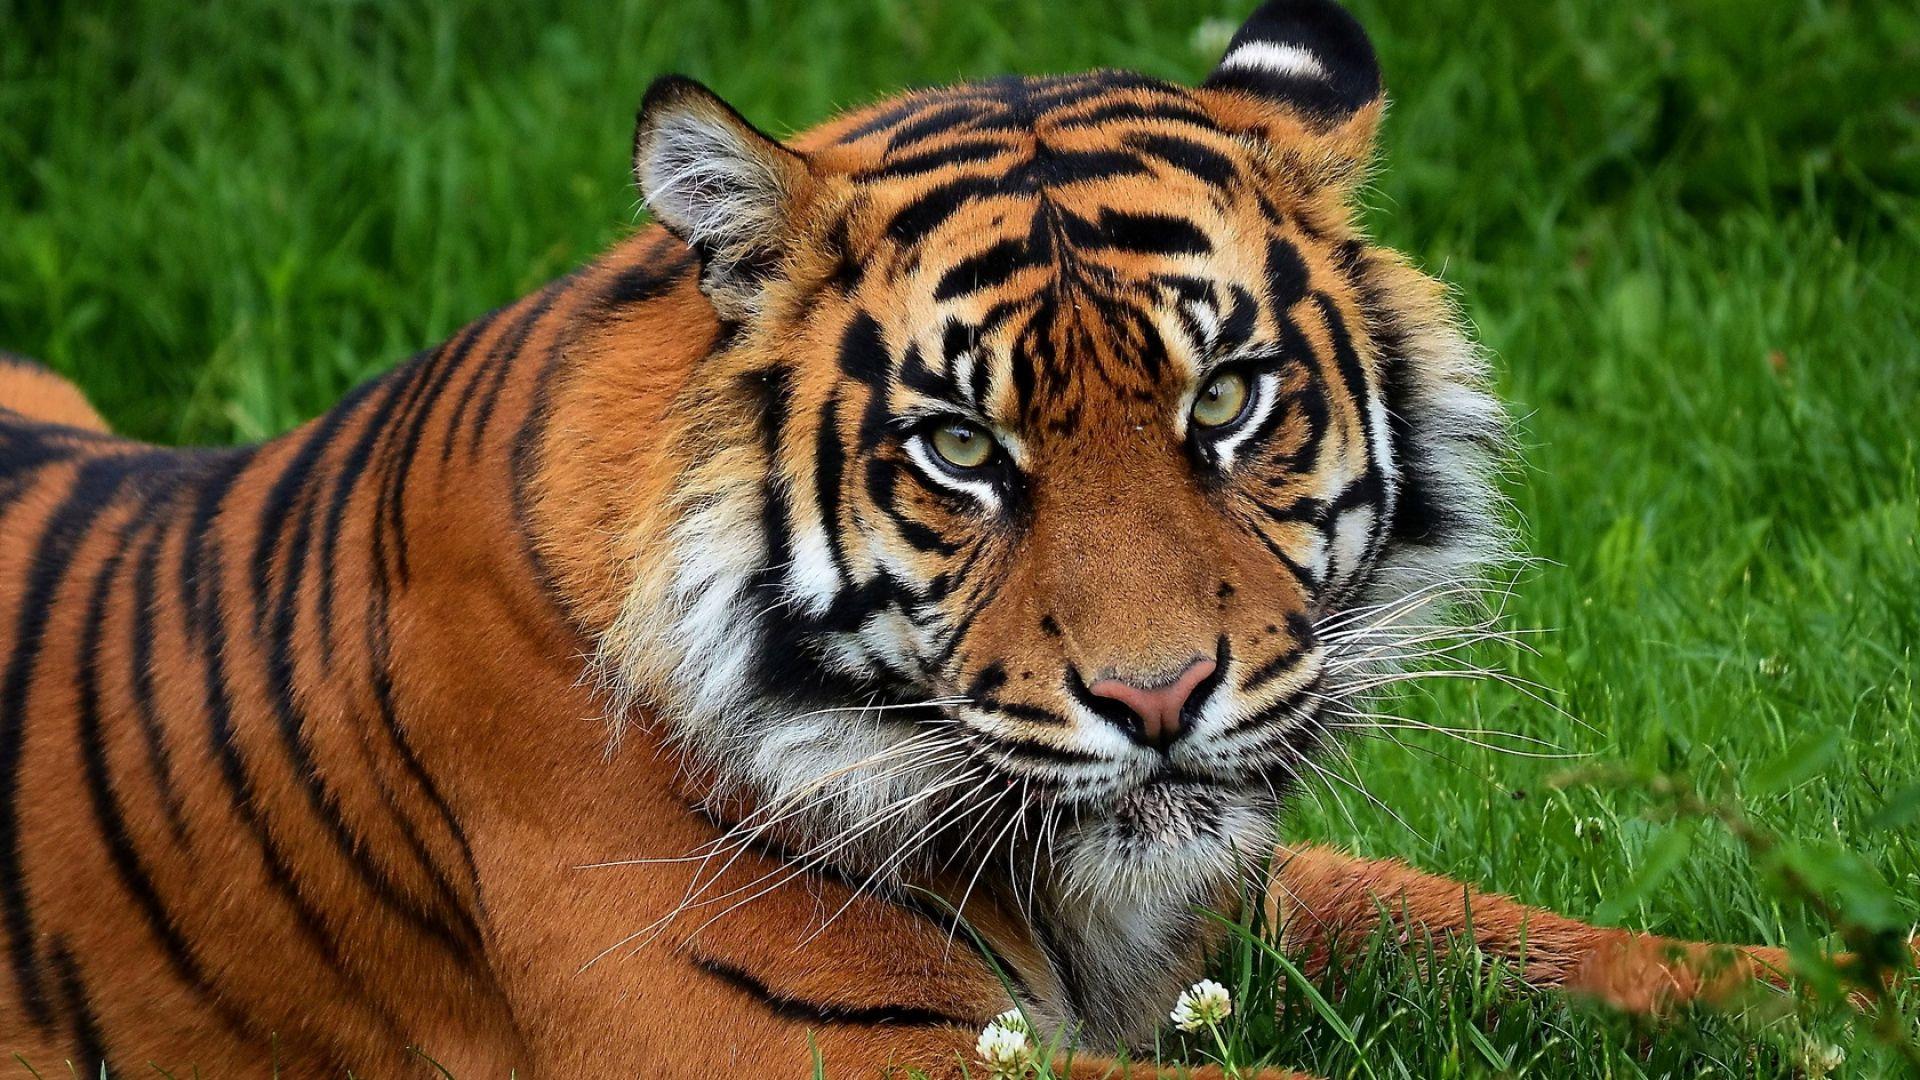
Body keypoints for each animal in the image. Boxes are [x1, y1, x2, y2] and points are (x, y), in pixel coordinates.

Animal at [0, 2, 1826, 1077]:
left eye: (1230, 399)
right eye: (962, 448)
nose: (1157, 702)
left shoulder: (1223, 889)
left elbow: (1514, 931)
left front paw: (1837, 999)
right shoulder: (834, 1045)